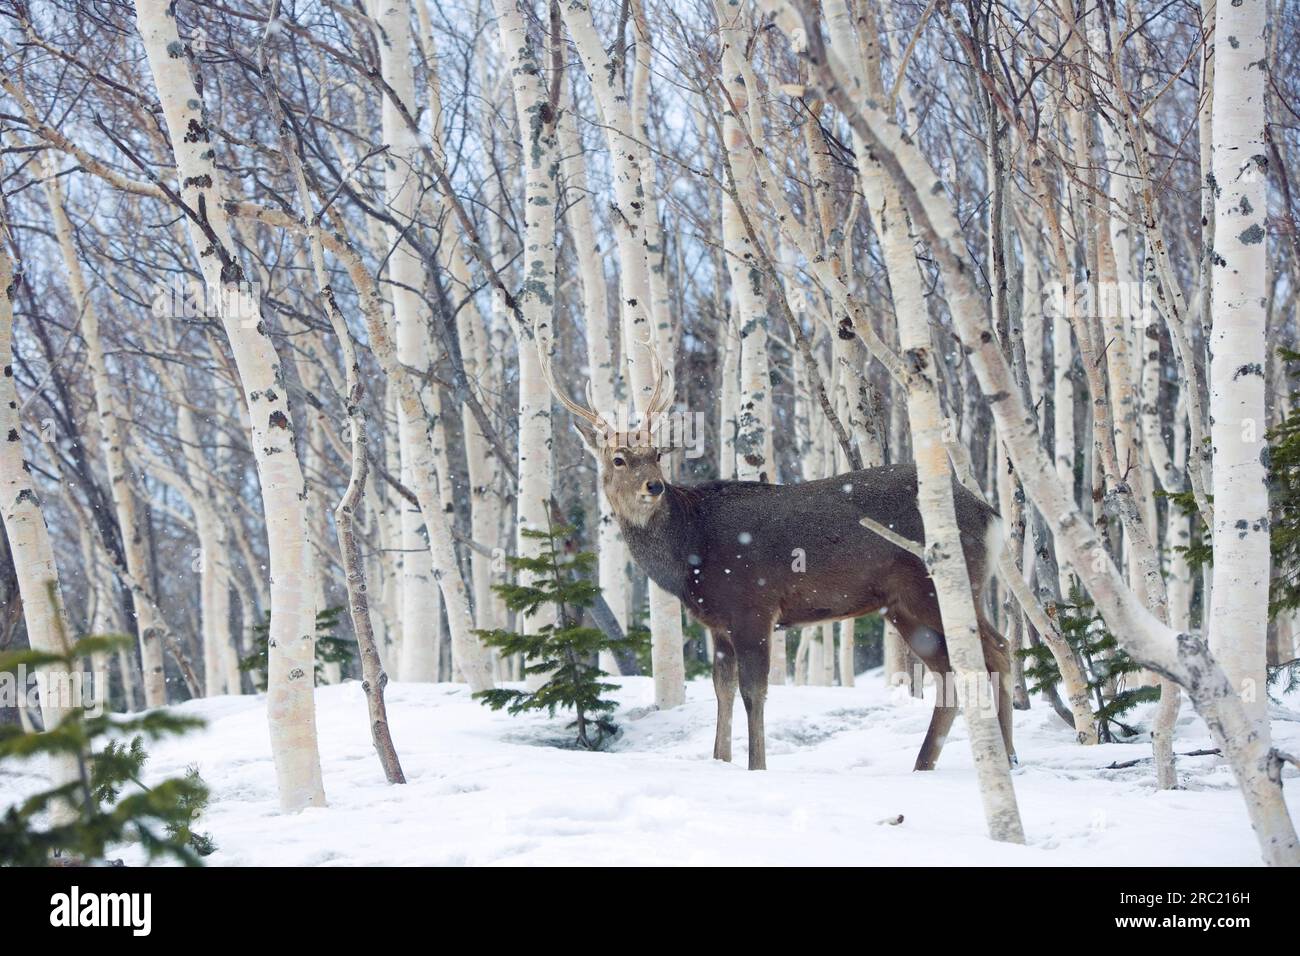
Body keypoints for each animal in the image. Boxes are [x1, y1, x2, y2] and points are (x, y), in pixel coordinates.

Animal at [539, 344, 1015, 773]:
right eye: (619, 459)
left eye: (656, 454)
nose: (653, 486)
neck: (690, 550)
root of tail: (990, 515)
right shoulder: (718, 624)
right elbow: (722, 692)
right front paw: (720, 760)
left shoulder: (754, 605)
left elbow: (754, 692)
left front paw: (756, 766)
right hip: (903, 606)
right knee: (952, 669)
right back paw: (926, 764)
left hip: (940, 585)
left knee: (997, 650)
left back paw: (1007, 757)